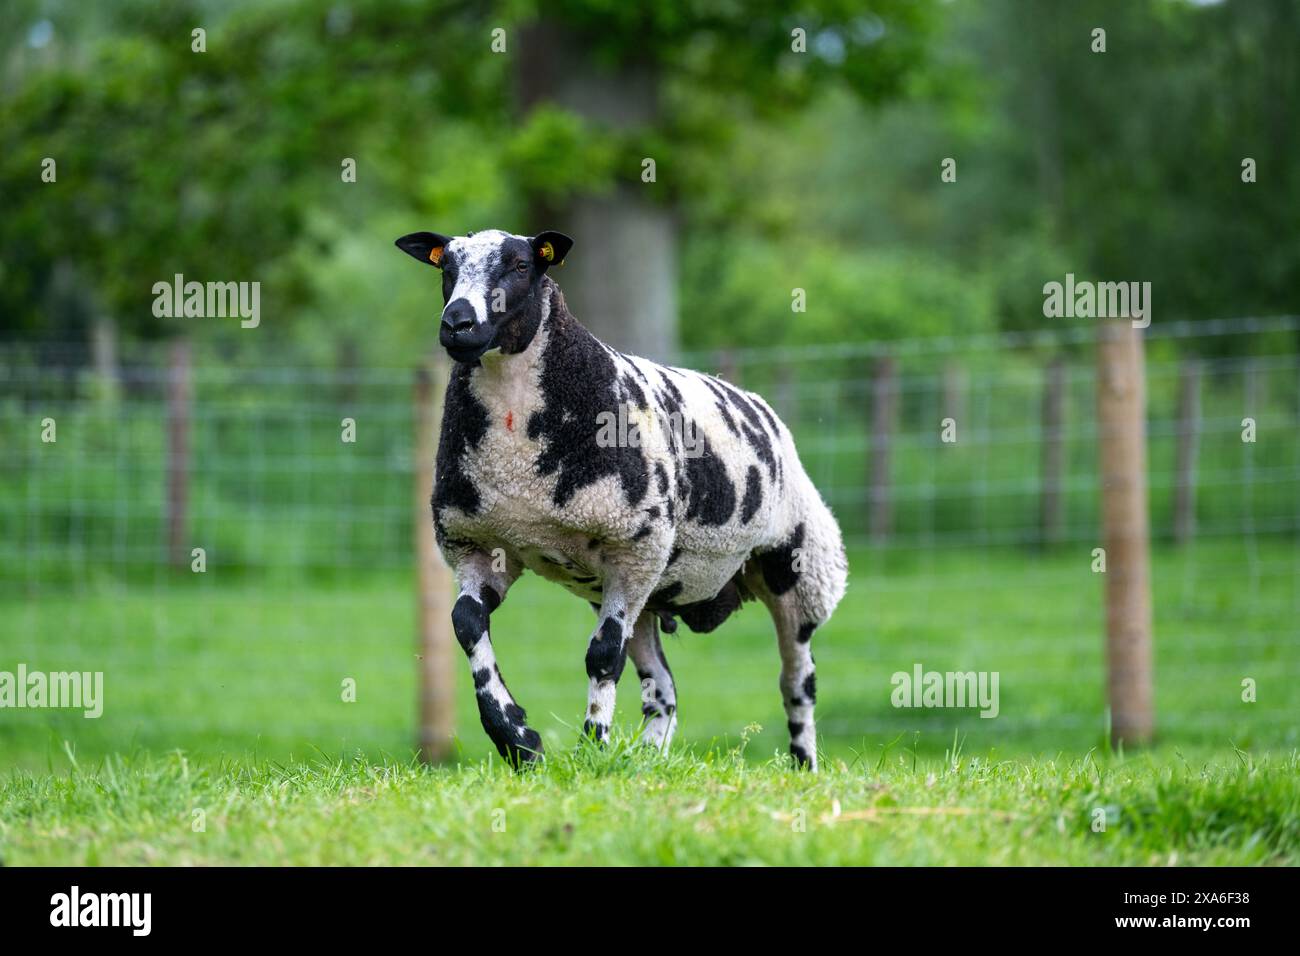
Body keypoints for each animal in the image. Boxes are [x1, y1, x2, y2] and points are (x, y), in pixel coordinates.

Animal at [395, 228, 848, 769]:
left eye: (521, 264)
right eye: (445, 267)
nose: (456, 324)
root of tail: (765, 411)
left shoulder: (634, 547)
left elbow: (602, 655)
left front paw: (592, 745)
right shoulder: (480, 545)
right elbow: (466, 625)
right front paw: (518, 740)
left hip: (796, 569)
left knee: (797, 681)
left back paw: (804, 766)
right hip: (643, 591)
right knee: (663, 687)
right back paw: (649, 761)